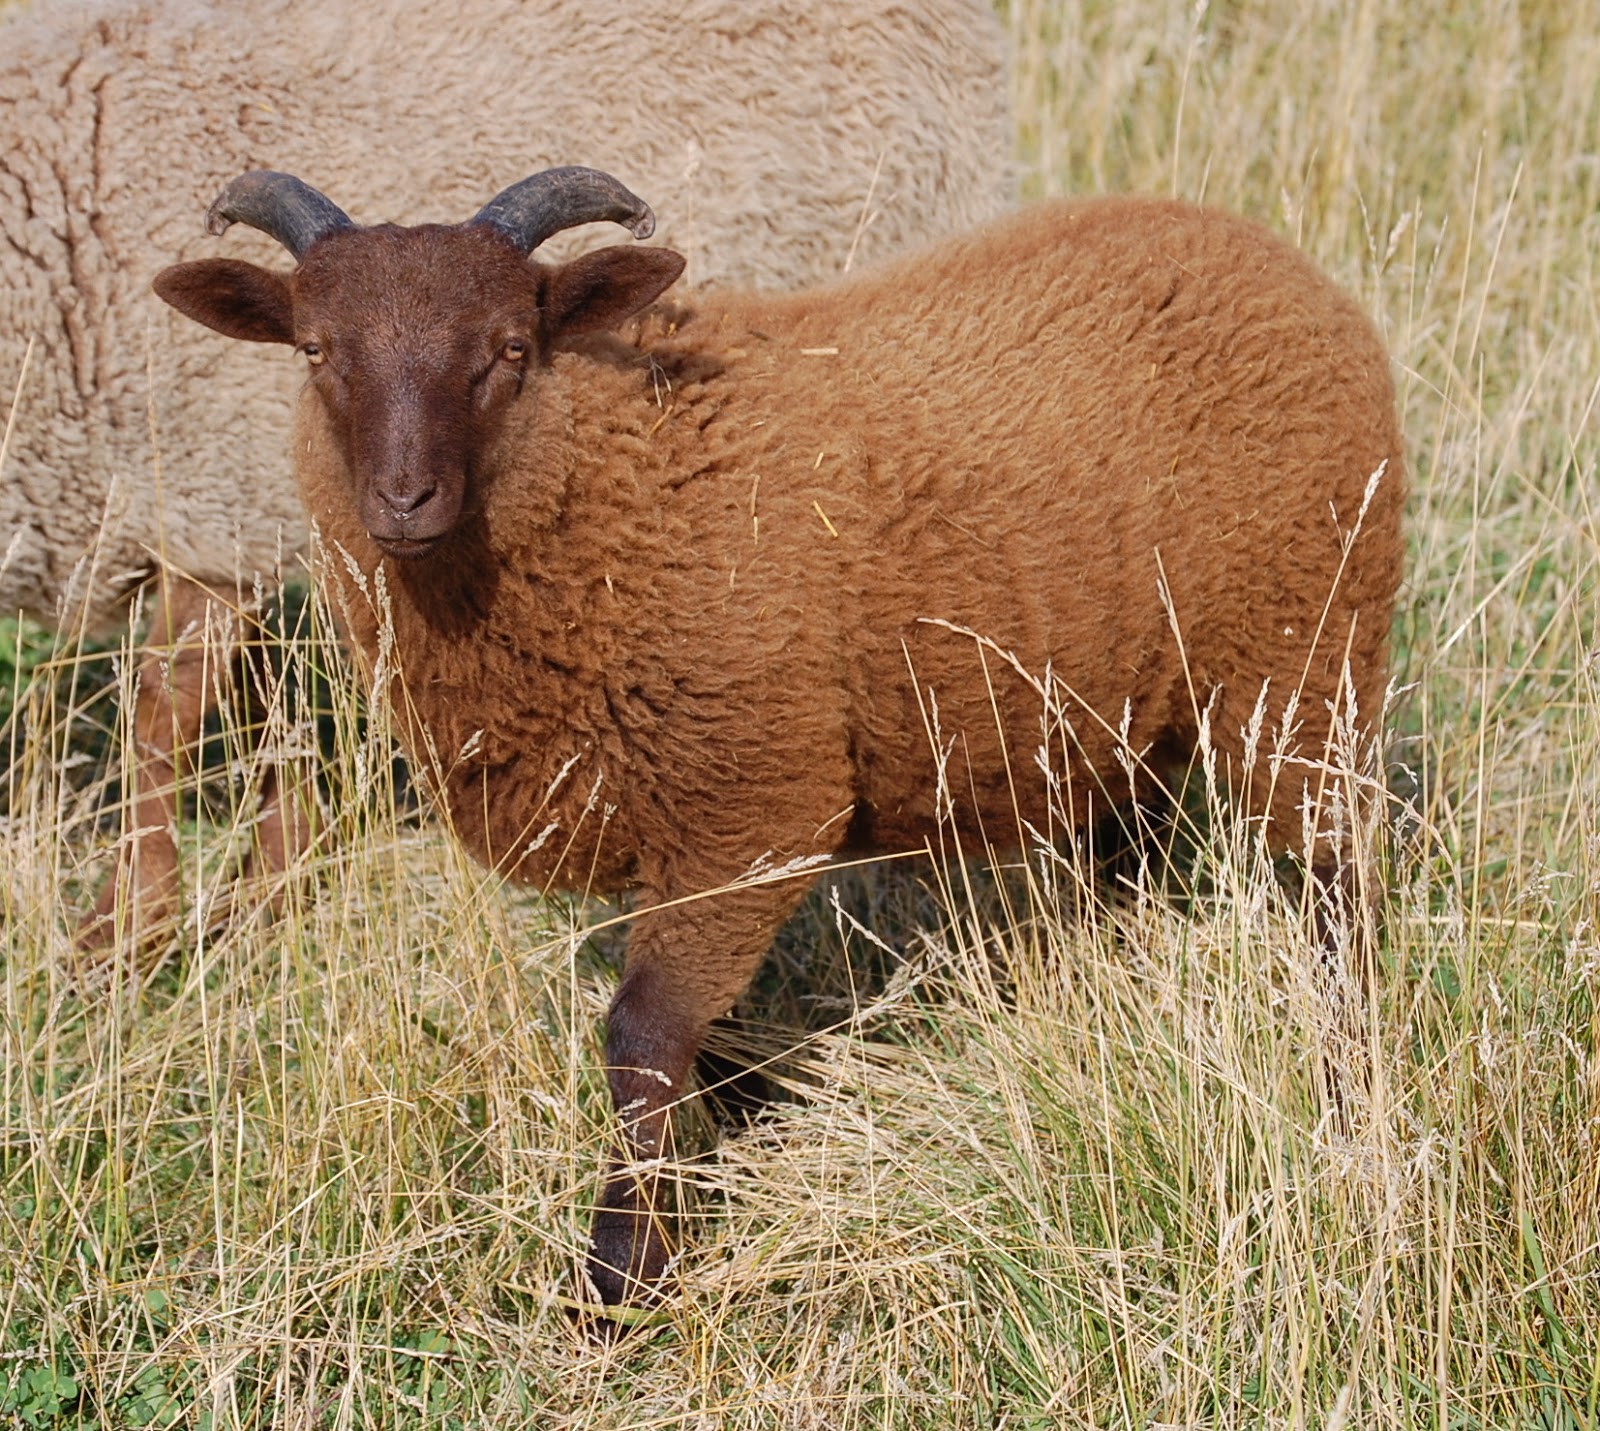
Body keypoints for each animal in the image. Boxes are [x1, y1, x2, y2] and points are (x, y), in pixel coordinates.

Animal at [0, 0, 1012, 948]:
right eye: (315, 348)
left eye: (510, 348)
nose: (408, 499)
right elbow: (259, 713)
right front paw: (254, 890)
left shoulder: (215, 501)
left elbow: (165, 712)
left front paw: (127, 929)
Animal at [151, 165, 1406, 1312]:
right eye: (316, 350)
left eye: (510, 347)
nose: (403, 503)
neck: (618, 479)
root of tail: (1270, 255)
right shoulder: (673, 820)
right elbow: (692, 1033)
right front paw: (754, 1127)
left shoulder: (751, 798)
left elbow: (642, 1033)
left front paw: (622, 1282)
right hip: (1128, 702)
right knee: (1130, 866)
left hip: (1303, 650)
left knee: (1333, 886)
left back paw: (1350, 1104)